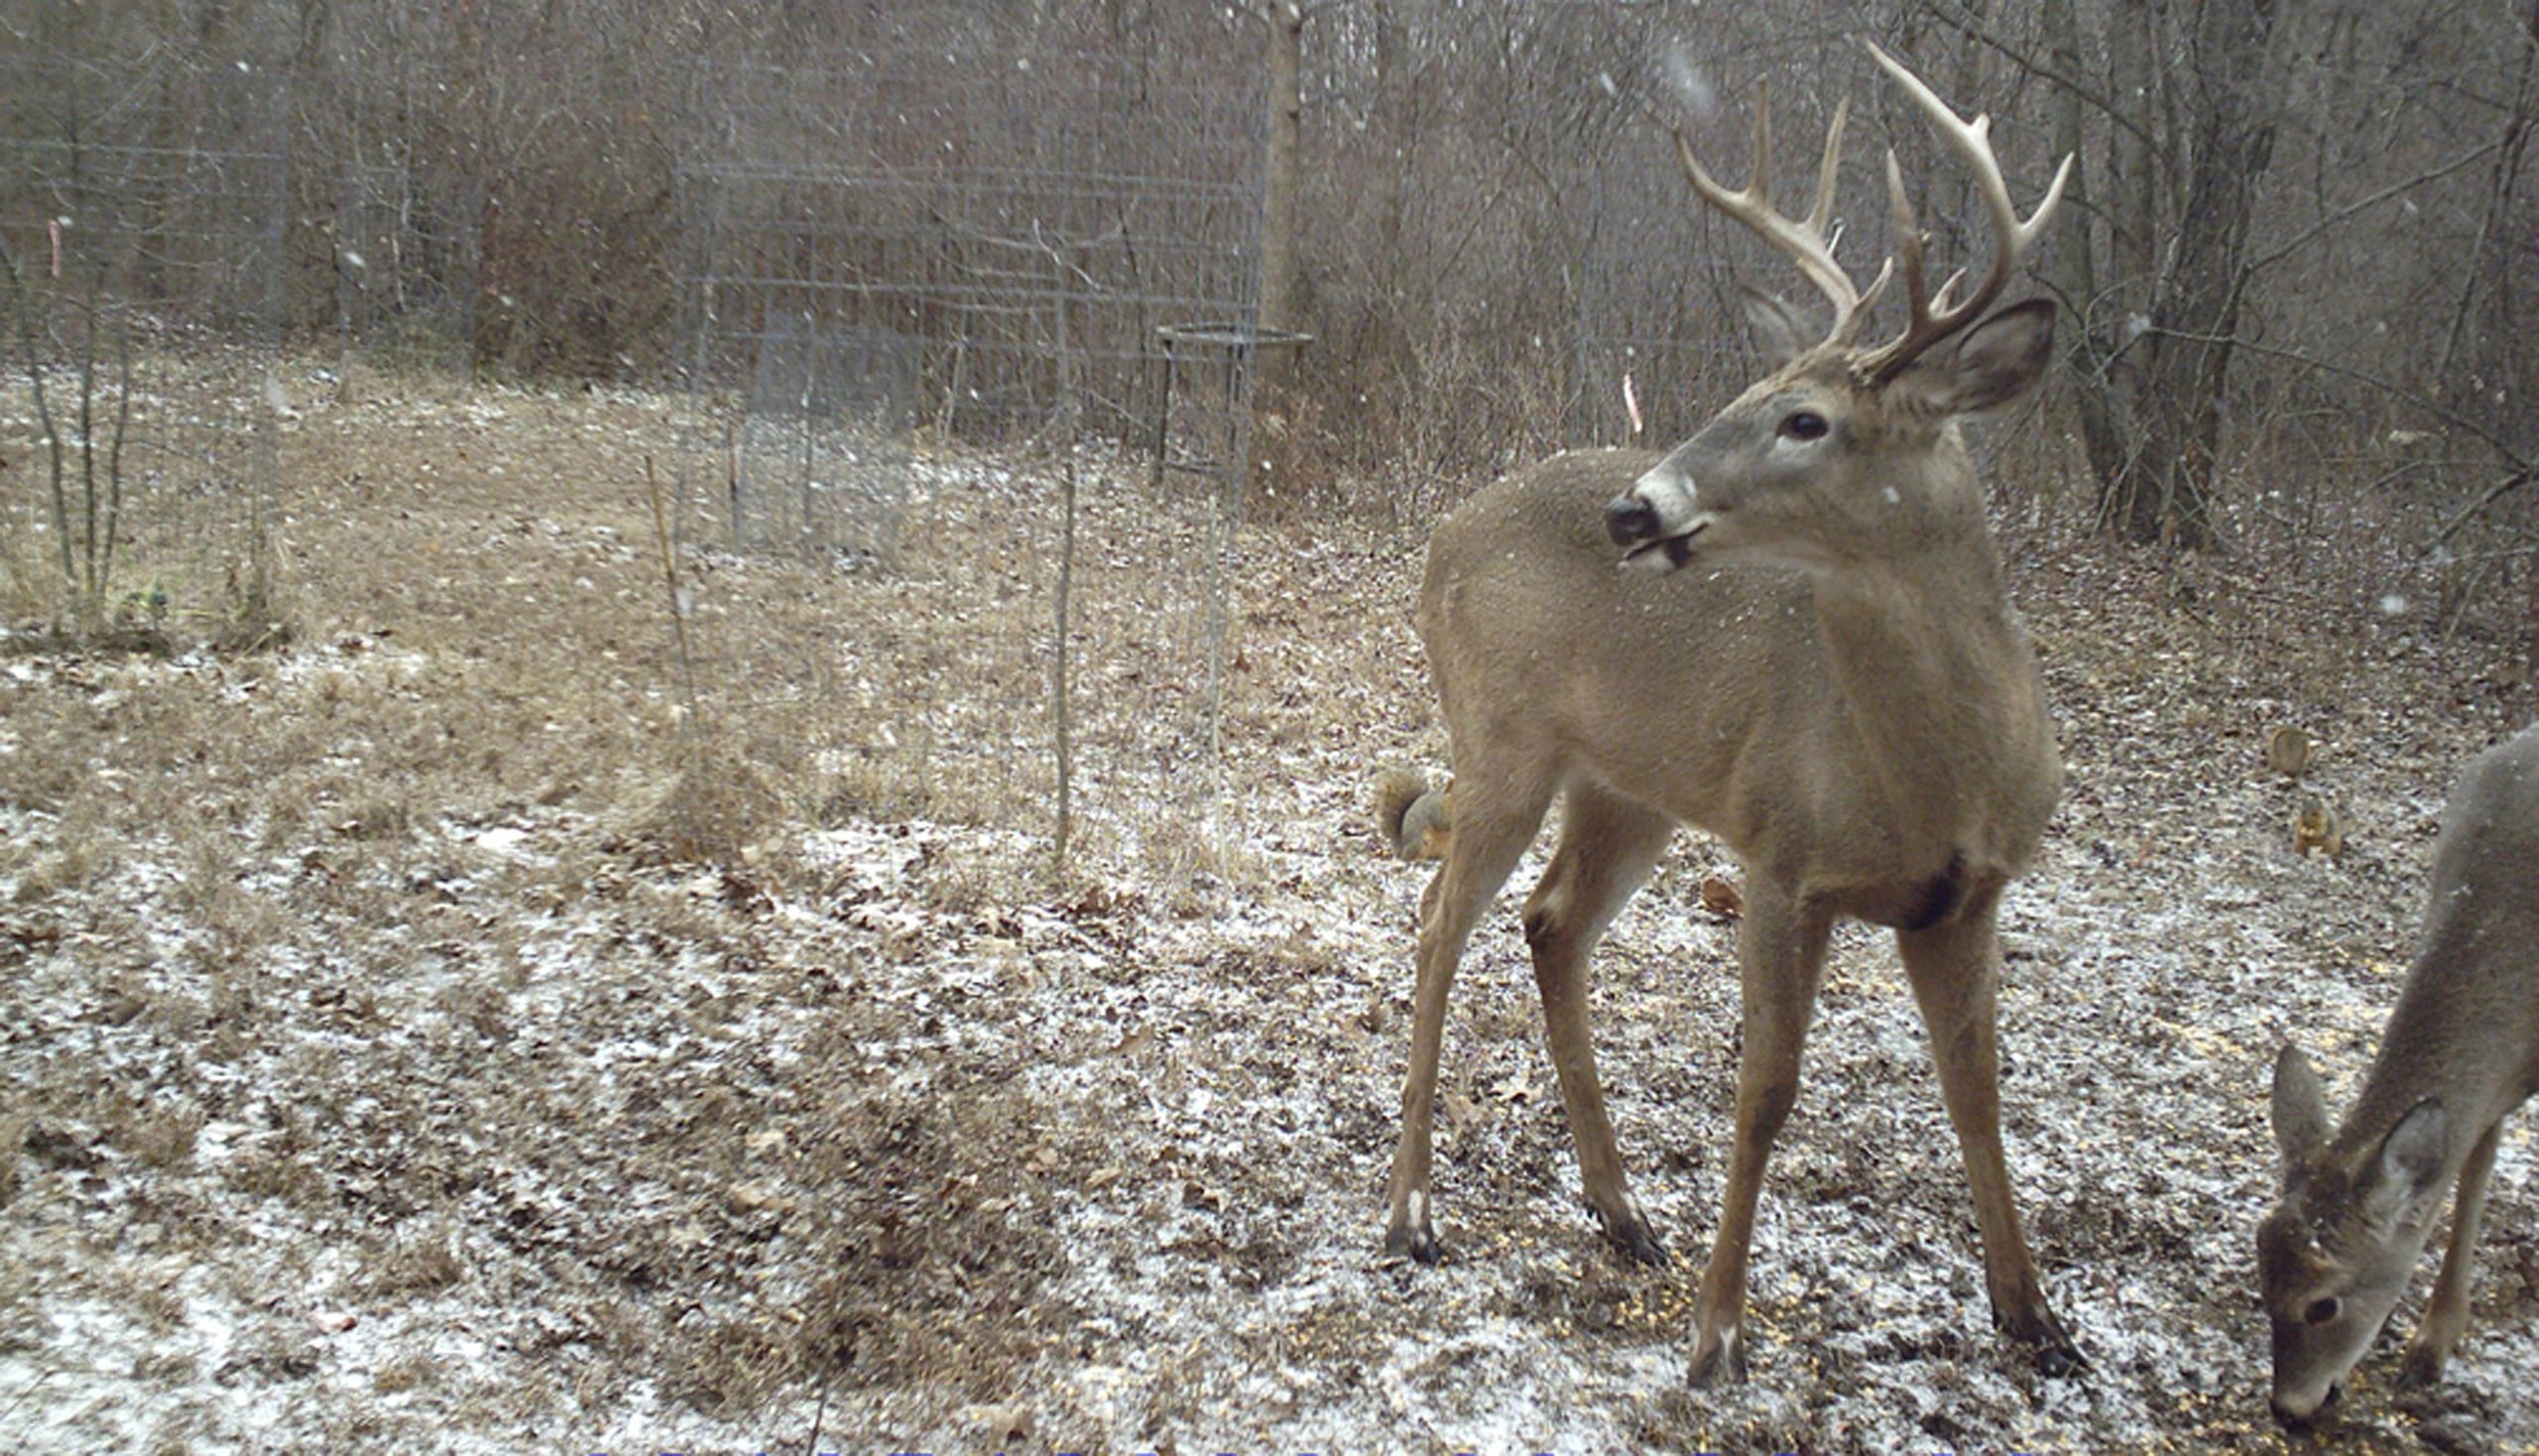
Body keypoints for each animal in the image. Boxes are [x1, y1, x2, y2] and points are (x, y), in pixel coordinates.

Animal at [1379, 40, 2082, 1386]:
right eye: (1749, 388)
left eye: (1808, 418)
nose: (1637, 509)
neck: (1936, 776)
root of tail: (1441, 534)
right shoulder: (1782, 855)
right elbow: (1766, 1090)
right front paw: (1716, 1333)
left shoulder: (1970, 893)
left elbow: (1978, 1086)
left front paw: (2036, 1317)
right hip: (1504, 740)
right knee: (1442, 917)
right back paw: (1412, 1212)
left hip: (1631, 787)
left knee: (1549, 923)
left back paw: (1622, 1212)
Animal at [2259, 722, 2539, 1427]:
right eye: (2262, 1274)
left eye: (2324, 1303)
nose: (2288, 1408)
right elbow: (2469, 1166)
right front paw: (2432, 1337)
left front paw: (2430, 1350)